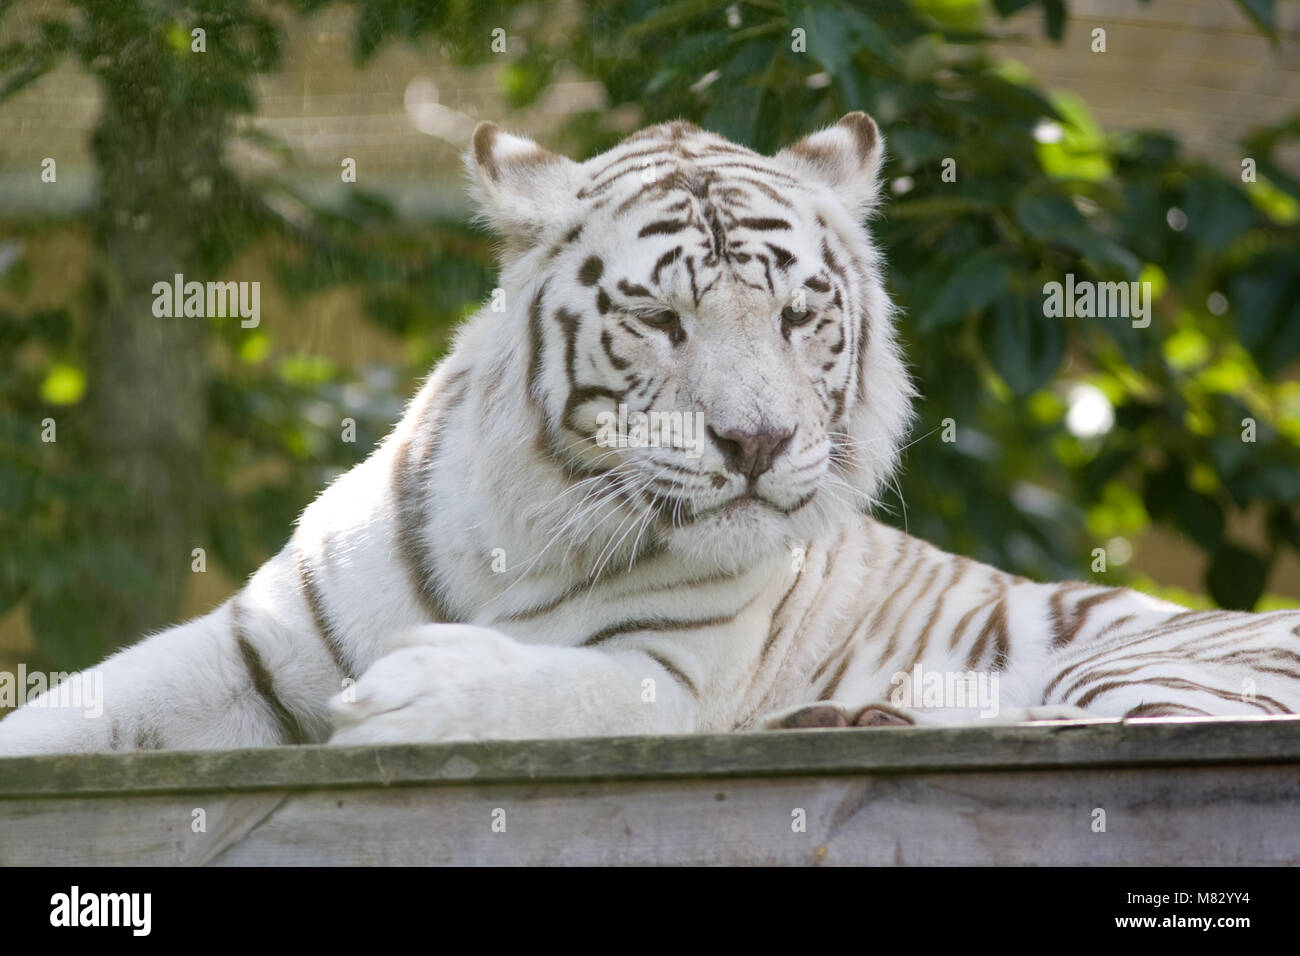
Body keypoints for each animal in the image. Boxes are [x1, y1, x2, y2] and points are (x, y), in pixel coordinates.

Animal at [2, 111, 1298, 757]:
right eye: (661, 318)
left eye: (798, 317)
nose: (757, 441)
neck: (520, 526)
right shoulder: (258, 641)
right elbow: (70, 707)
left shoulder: (670, 678)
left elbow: (554, 685)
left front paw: (410, 693)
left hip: (1156, 657)